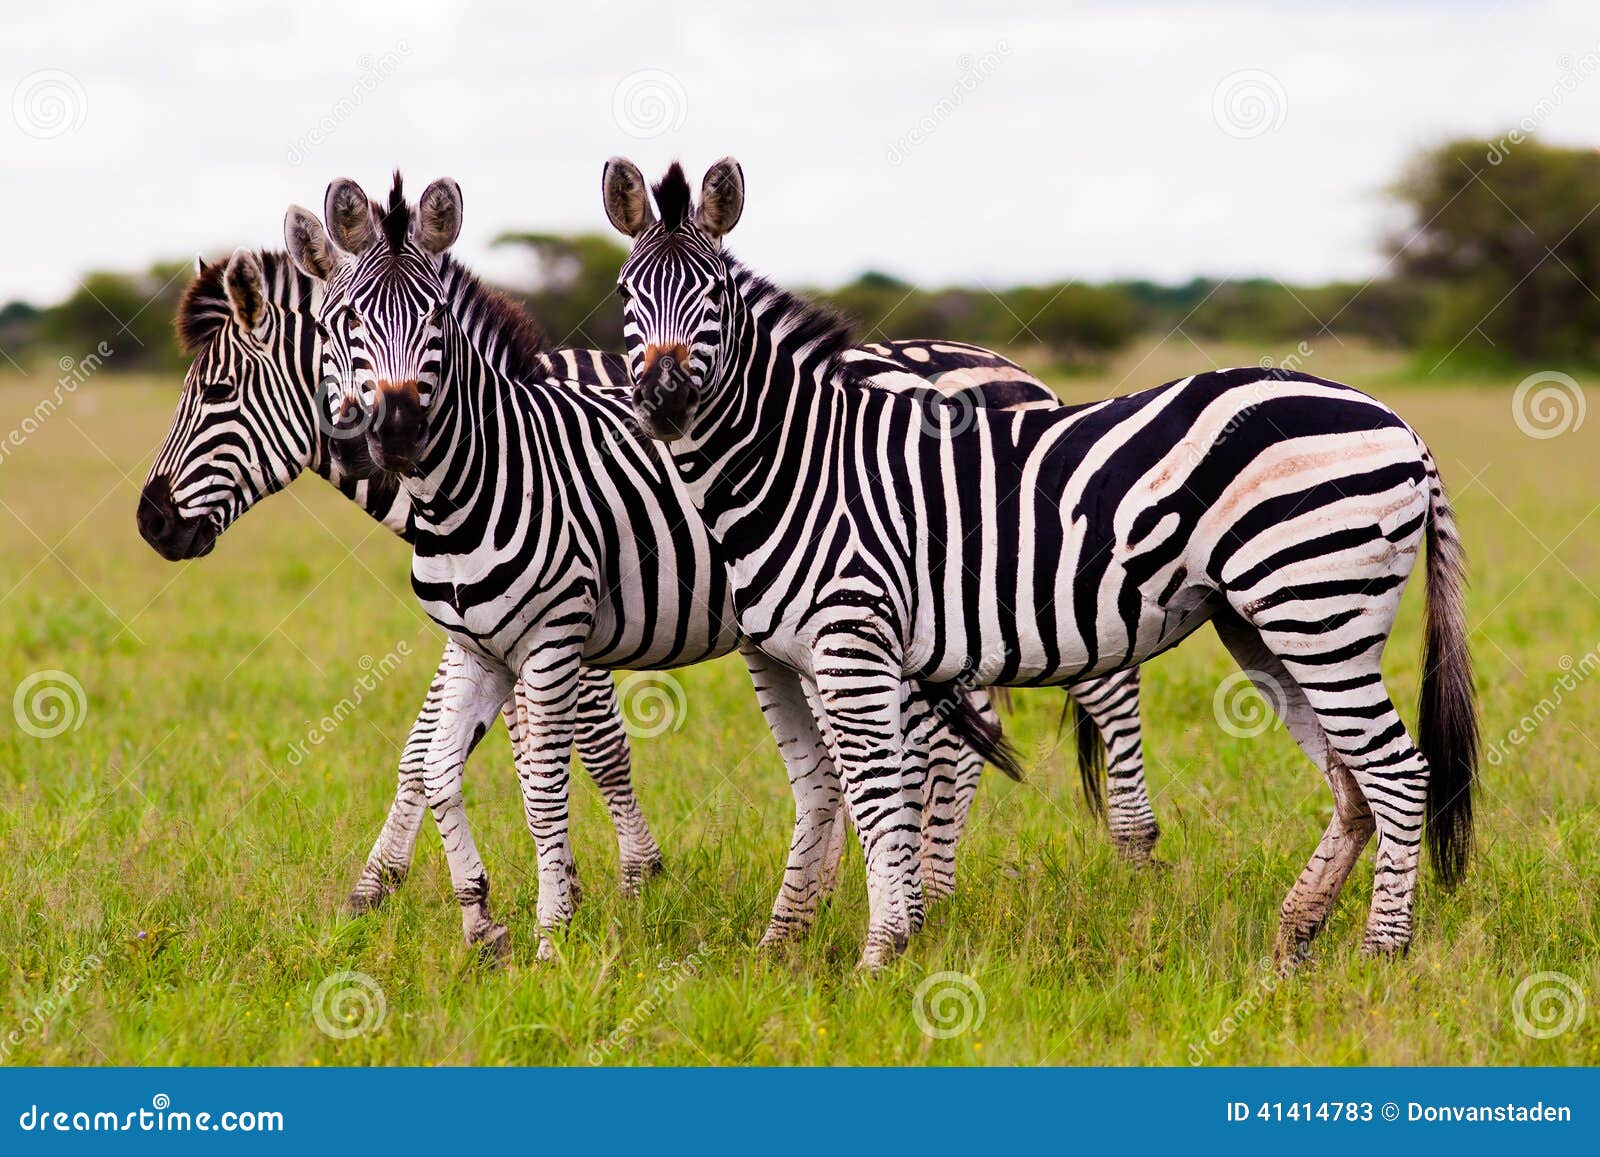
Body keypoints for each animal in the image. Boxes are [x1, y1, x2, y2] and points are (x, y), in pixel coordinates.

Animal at [602, 157, 1479, 968]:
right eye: (623, 296)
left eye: (715, 296)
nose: (665, 399)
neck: (798, 462)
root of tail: (1398, 421)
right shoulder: (798, 658)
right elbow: (839, 793)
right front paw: (809, 946)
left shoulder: (854, 643)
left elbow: (878, 797)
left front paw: (880, 954)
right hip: (1270, 624)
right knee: (1350, 778)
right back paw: (1294, 939)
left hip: (1319, 607)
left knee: (1399, 772)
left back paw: (1381, 953)